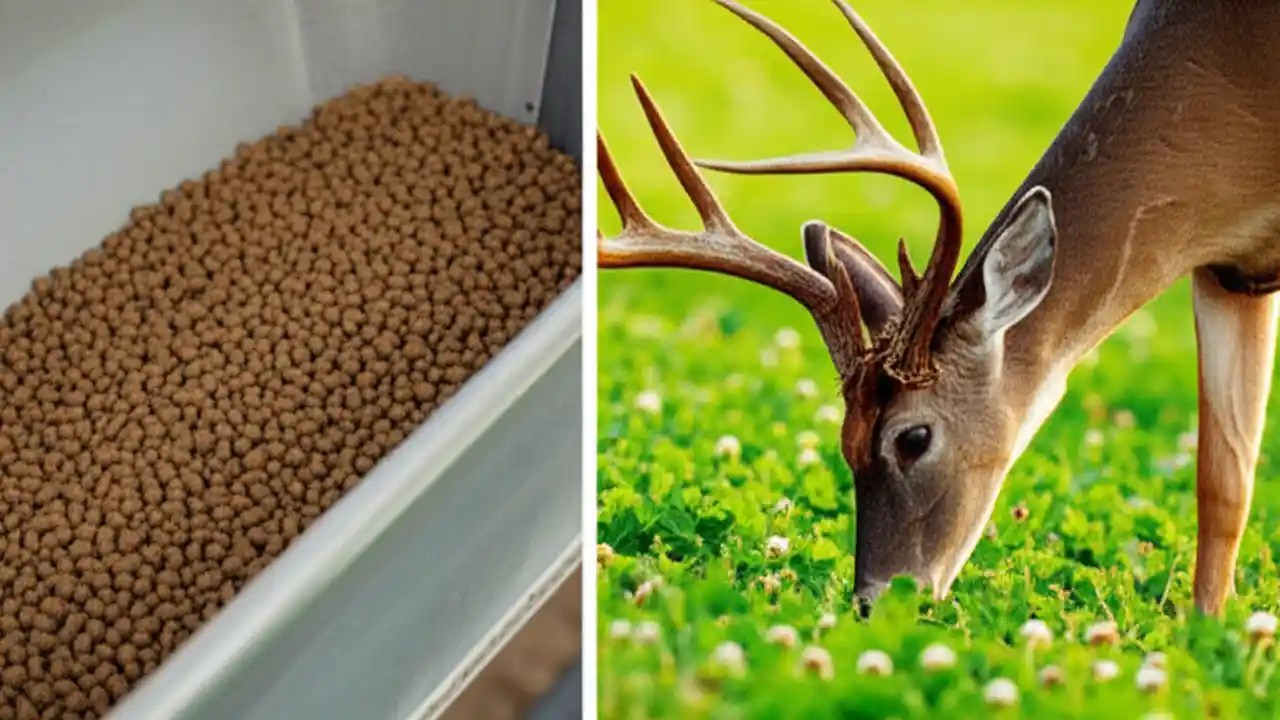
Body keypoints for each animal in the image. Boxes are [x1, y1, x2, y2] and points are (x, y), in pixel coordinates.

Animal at [598, 0, 1280, 615]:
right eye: (845, 442)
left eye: (914, 437)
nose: (871, 602)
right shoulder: (1231, 272)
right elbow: (1224, 483)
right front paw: (1207, 630)